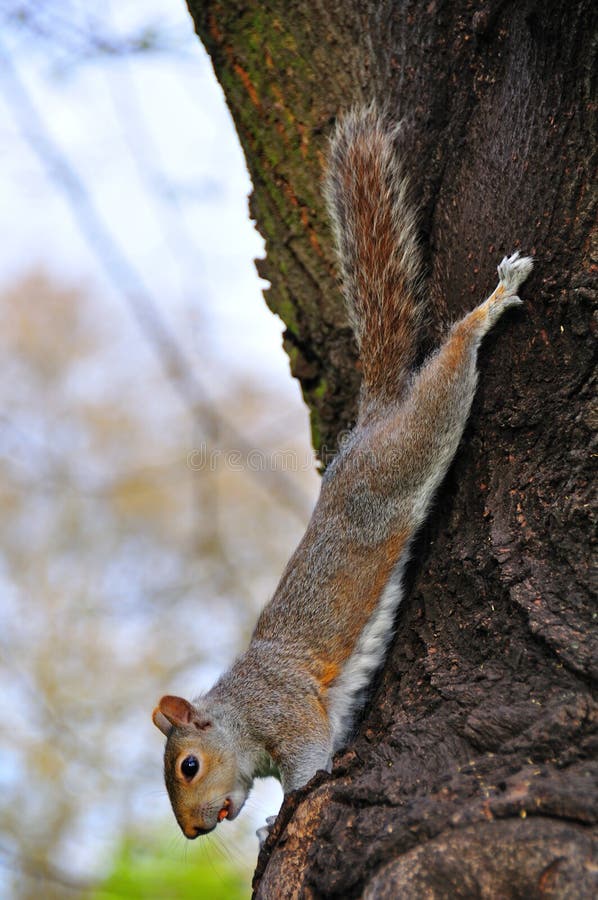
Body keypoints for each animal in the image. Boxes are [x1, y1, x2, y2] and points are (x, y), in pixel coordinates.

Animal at [152, 106, 533, 843]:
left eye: (187, 765)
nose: (192, 833)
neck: (240, 707)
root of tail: (372, 420)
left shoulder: (287, 711)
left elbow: (309, 761)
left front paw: (281, 815)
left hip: (404, 455)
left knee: (447, 375)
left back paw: (492, 303)